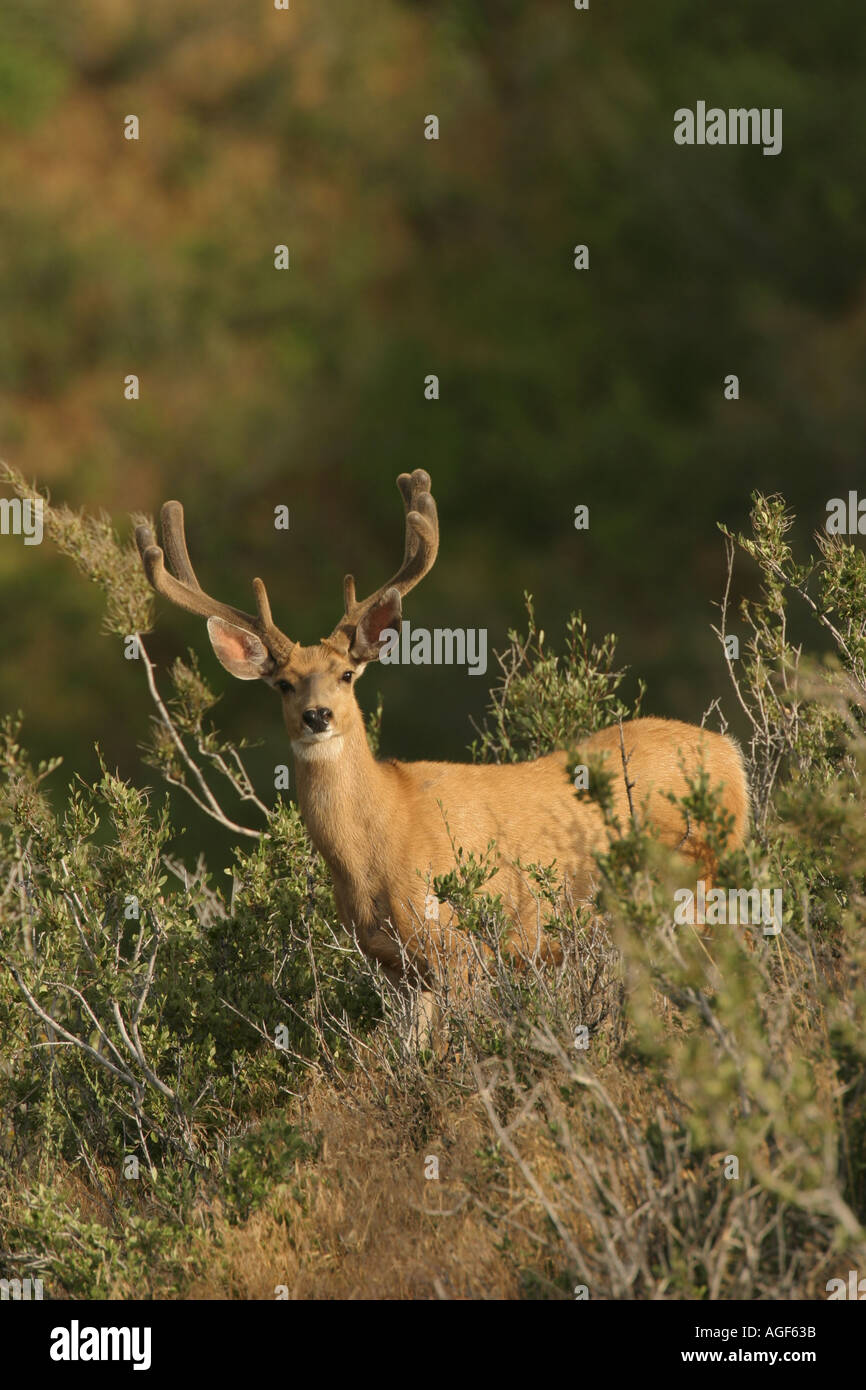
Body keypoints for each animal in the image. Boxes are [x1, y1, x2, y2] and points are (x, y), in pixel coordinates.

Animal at [135, 470, 749, 1002]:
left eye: (347, 674)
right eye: (284, 684)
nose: (318, 716)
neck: (378, 846)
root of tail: (730, 754)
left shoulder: (457, 947)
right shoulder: (398, 967)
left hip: (699, 881)